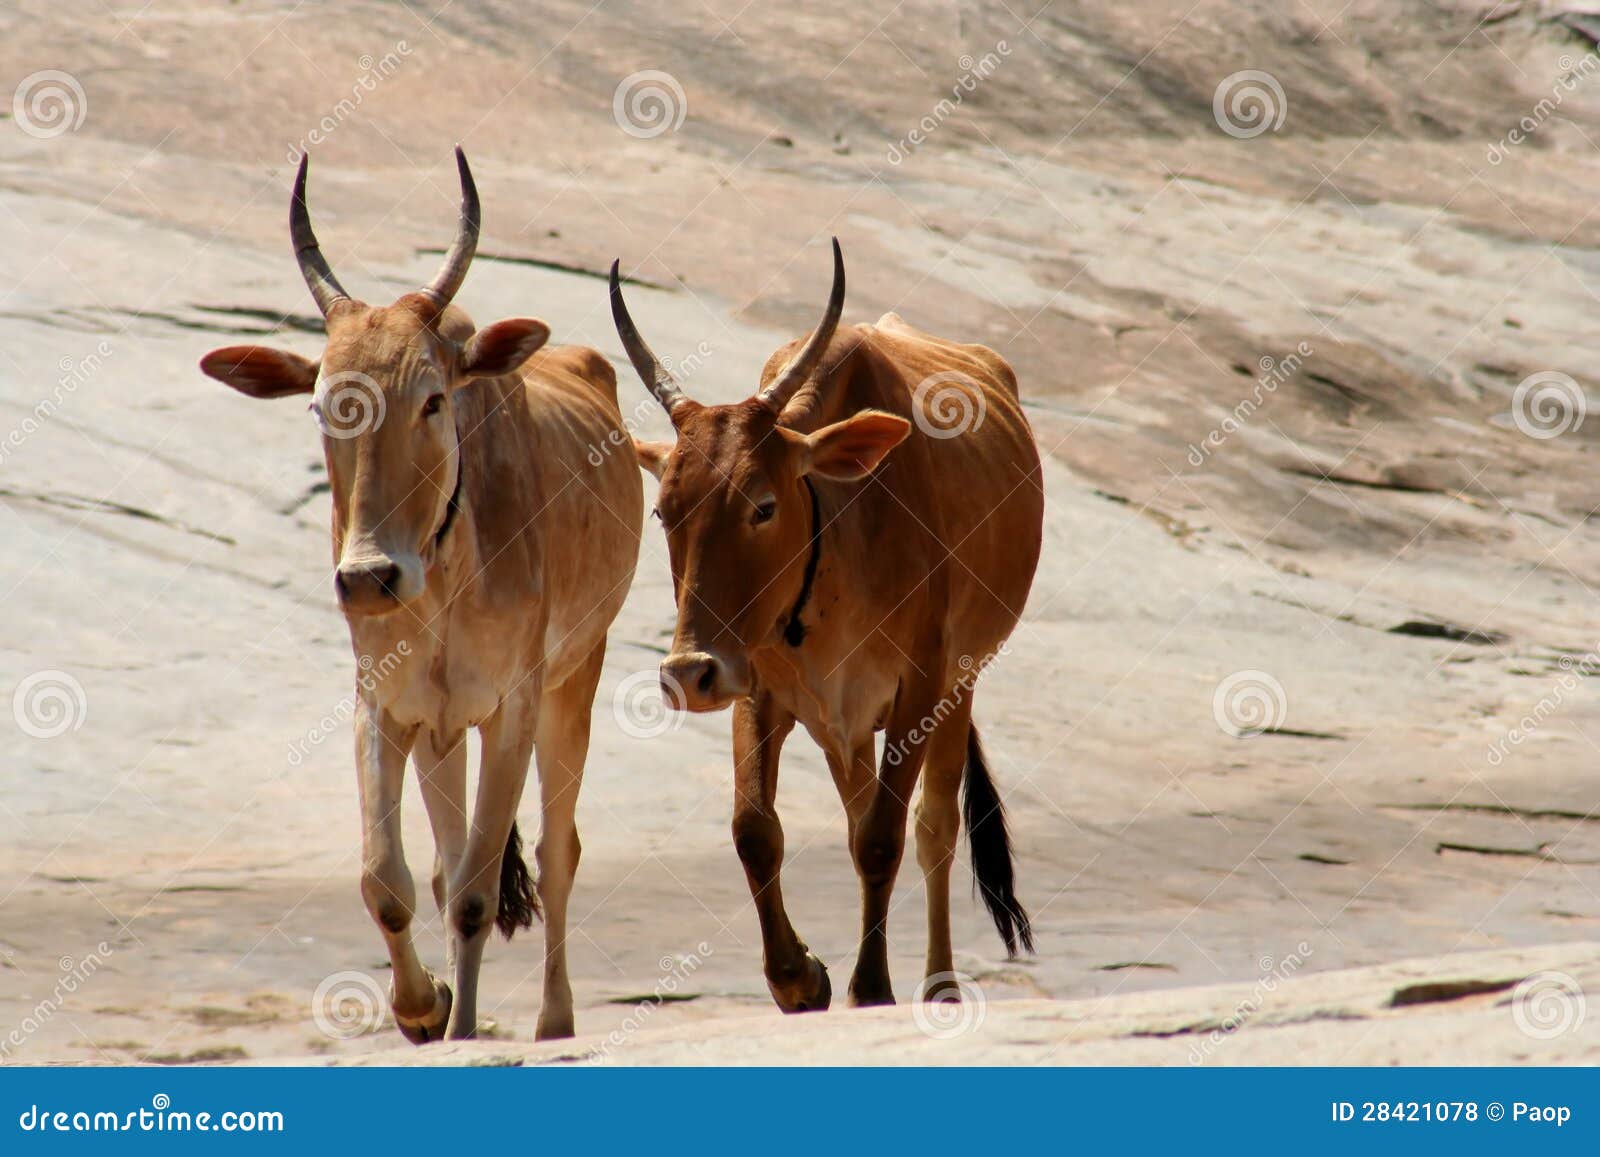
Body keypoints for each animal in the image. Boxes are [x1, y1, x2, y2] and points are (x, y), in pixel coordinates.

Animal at [198, 149, 642, 1041]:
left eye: (433, 397)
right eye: (322, 404)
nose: (368, 577)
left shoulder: (512, 708)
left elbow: (476, 892)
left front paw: (462, 1023)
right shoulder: (386, 705)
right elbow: (390, 880)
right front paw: (423, 1005)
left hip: (574, 679)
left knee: (556, 852)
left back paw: (555, 1017)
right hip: (444, 734)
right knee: (444, 865)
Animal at [609, 239, 1043, 1011]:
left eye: (763, 504)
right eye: (663, 509)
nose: (688, 674)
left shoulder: (919, 688)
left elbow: (884, 838)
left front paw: (872, 986)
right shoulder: (758, 687)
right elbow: (756, 830)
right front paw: (799, 975)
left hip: (960, 684)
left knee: (932, 827)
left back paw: (939, 985)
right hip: (844, 722)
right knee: (858, 812)